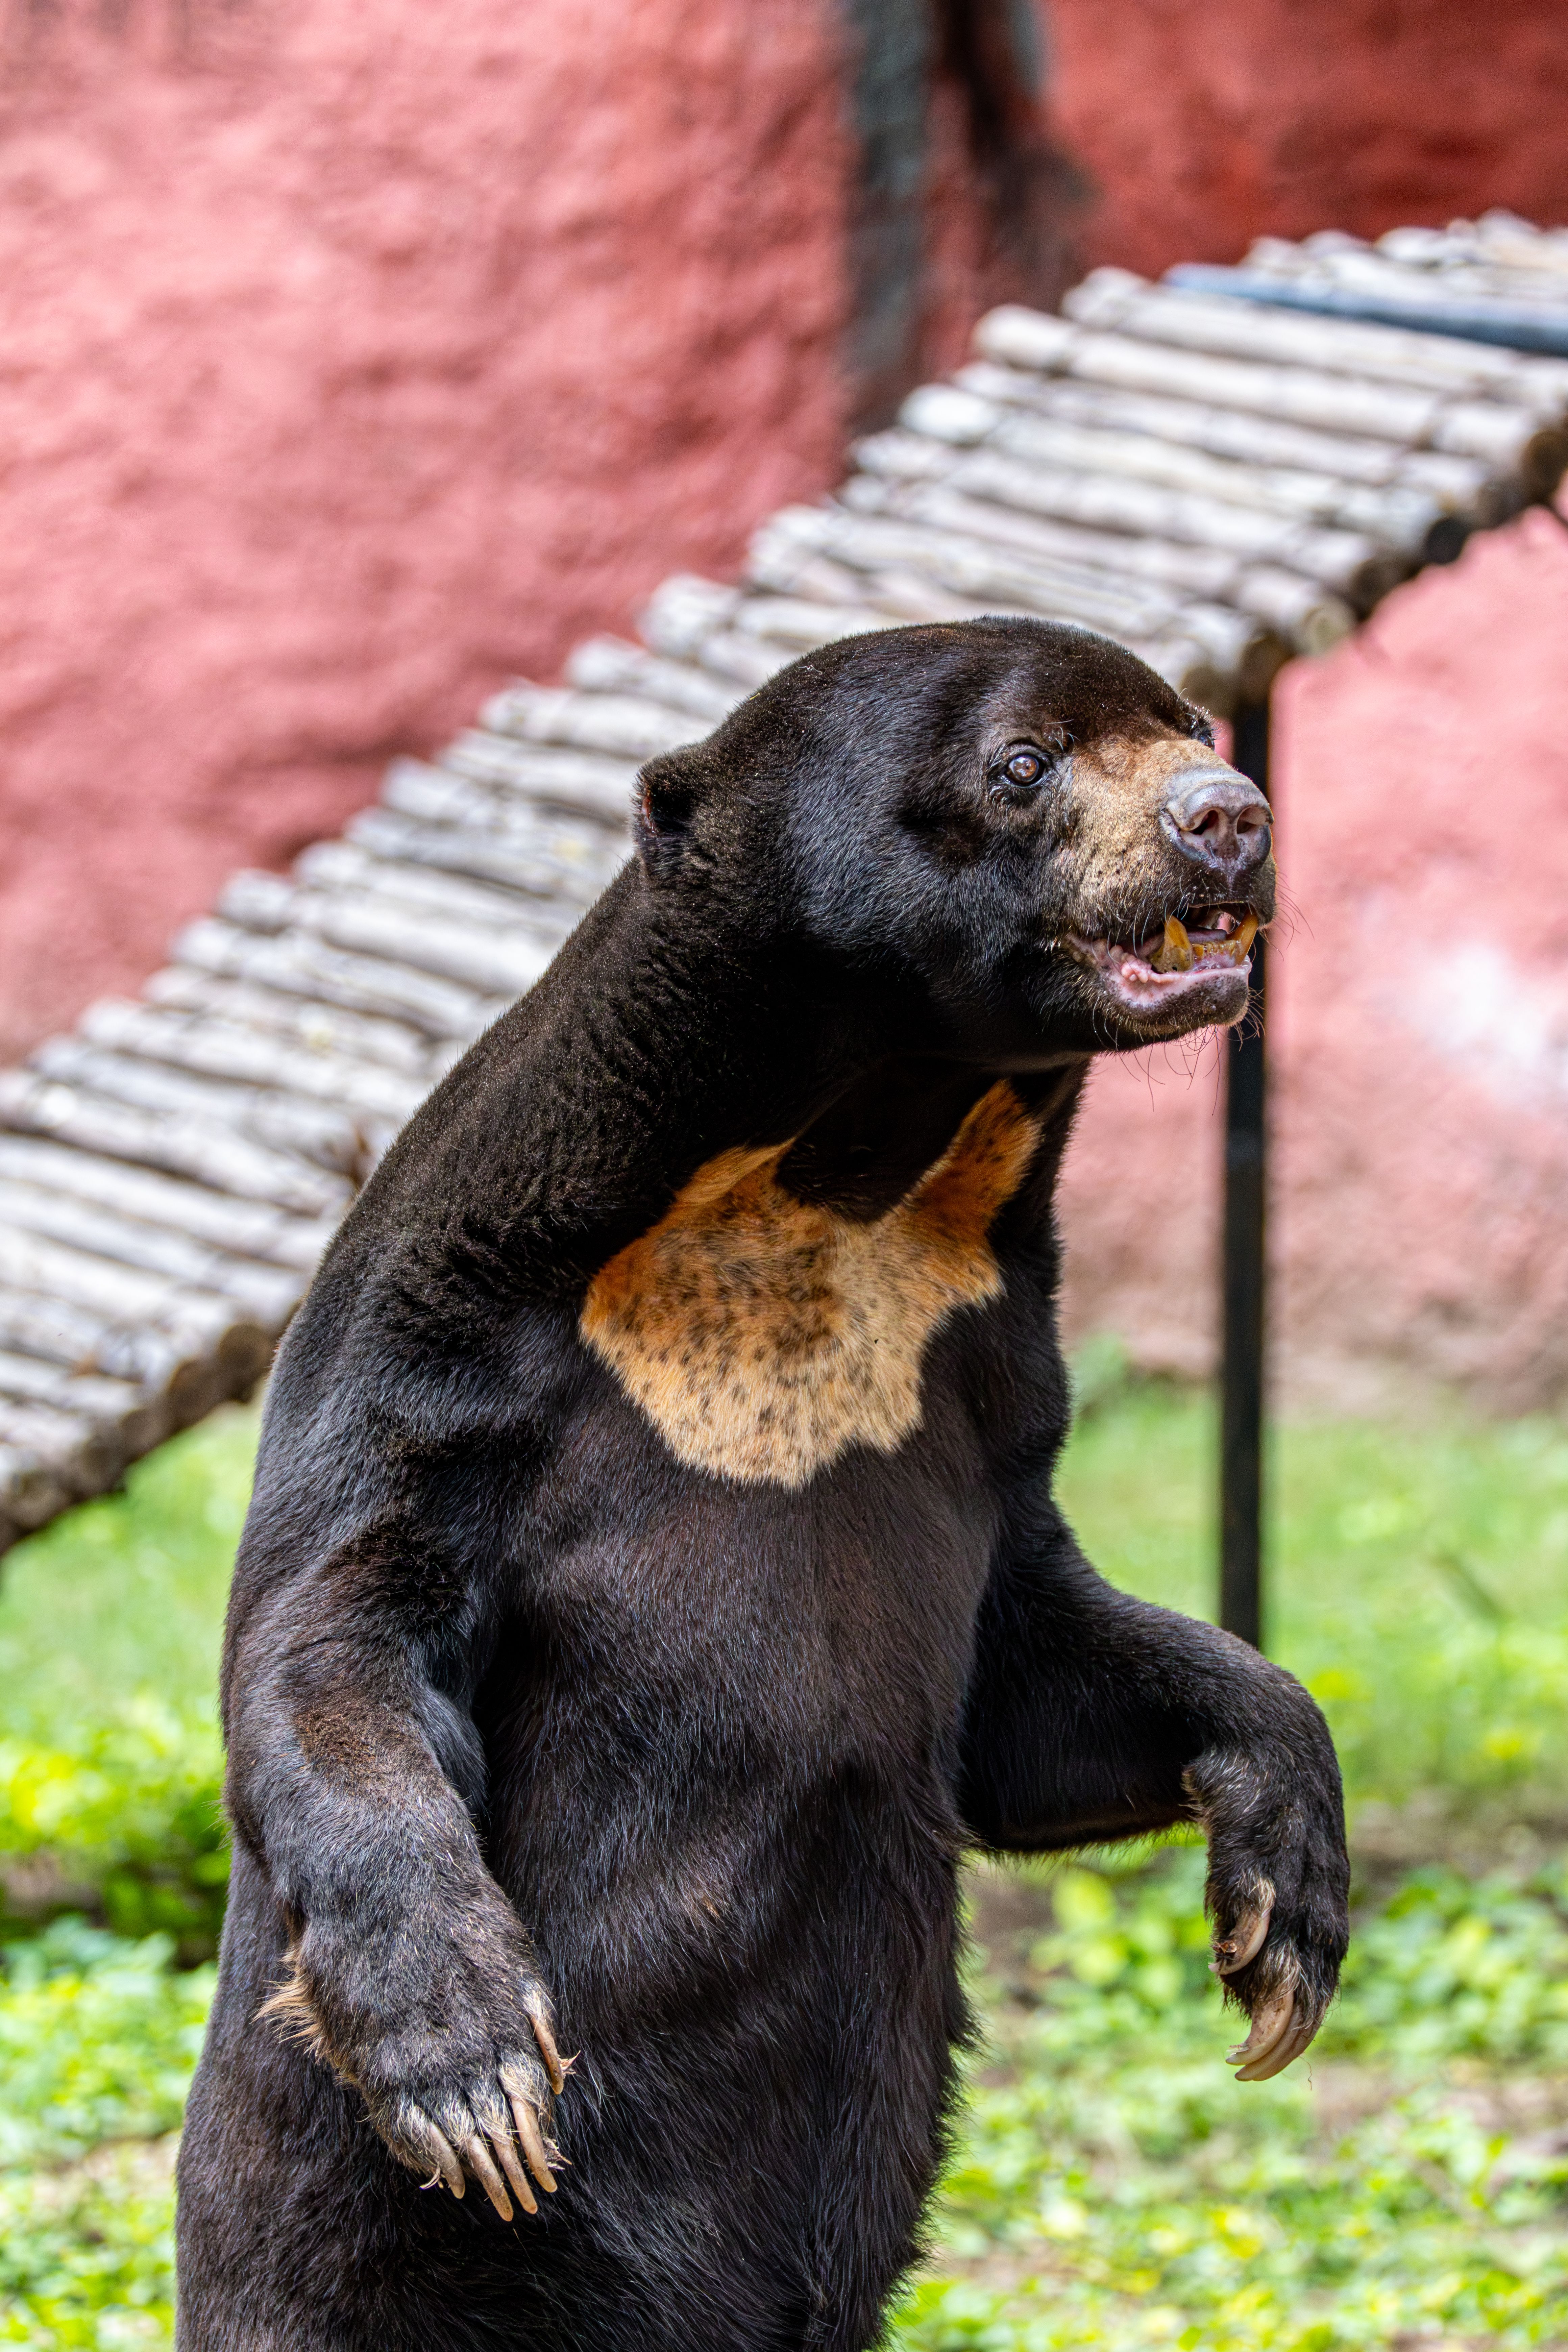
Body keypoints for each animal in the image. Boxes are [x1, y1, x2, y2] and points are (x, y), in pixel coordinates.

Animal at [175, 616, 1349, 2352]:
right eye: (1020, 762)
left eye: (1190, 723)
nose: (1229, 817)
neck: (834, 1190)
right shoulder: (450, 1342)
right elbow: (337, 1634)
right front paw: (469, 2067)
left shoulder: (977, 1386)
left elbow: (1030, 1690)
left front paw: (1281, 1929)